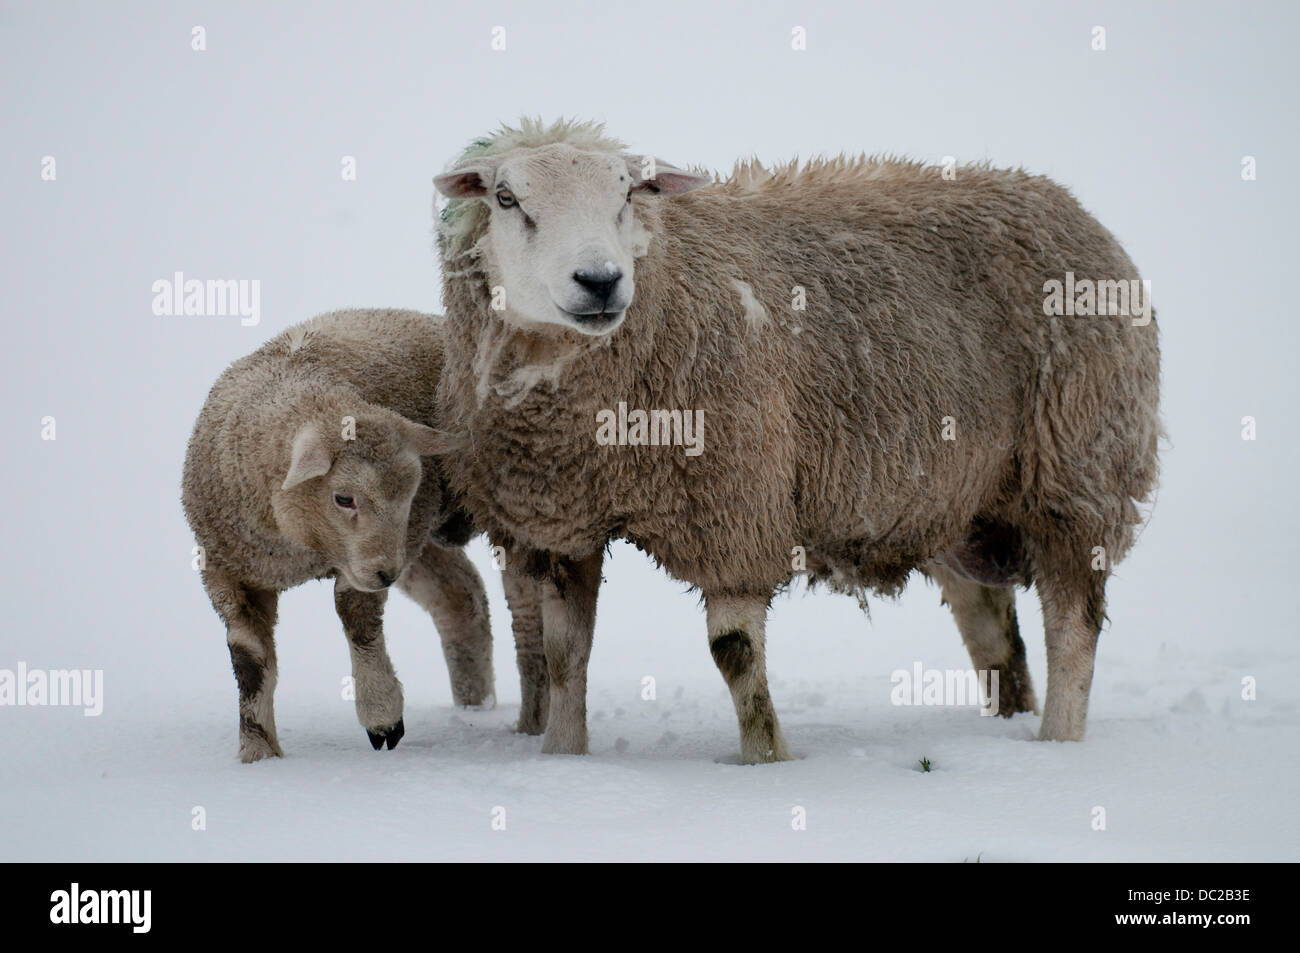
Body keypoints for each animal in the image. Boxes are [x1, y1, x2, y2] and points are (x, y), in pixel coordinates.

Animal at [181, 308, 546, 762]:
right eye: (344, 498)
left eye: (410, 489)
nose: (386, 574)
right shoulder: (225, 570)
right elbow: (249, 660)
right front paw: (258, 751)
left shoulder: (391, 543)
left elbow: (356, 616)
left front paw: (381, 714)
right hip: (419, 546)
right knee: (461, 599)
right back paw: (474, 706)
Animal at [432, 119, 1161, 763]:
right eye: (506, 198)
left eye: (628, 194)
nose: (601, 281)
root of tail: (1064, 200)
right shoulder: (558, 522)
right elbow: (564, 659)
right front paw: (562, 759)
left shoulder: (735, 509)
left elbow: (734, 653)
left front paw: (767, 760)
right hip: (960, 496)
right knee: (992, 627)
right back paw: (1011, 721)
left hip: (1078, 466)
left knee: (1072, 623)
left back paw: (1056, 744)